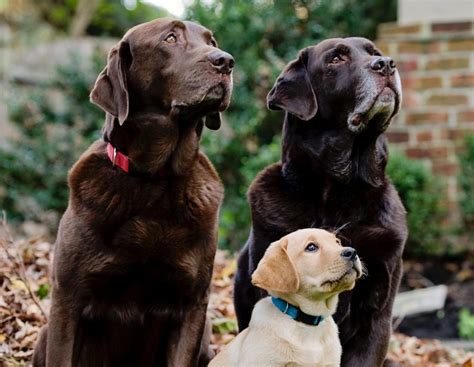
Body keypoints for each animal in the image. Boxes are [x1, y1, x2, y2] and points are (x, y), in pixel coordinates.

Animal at [32, 18, 233, 367]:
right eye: (170, 38)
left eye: (212, 41)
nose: (226, 61)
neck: (154, 178)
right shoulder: (67, 298)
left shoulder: (193, 305)